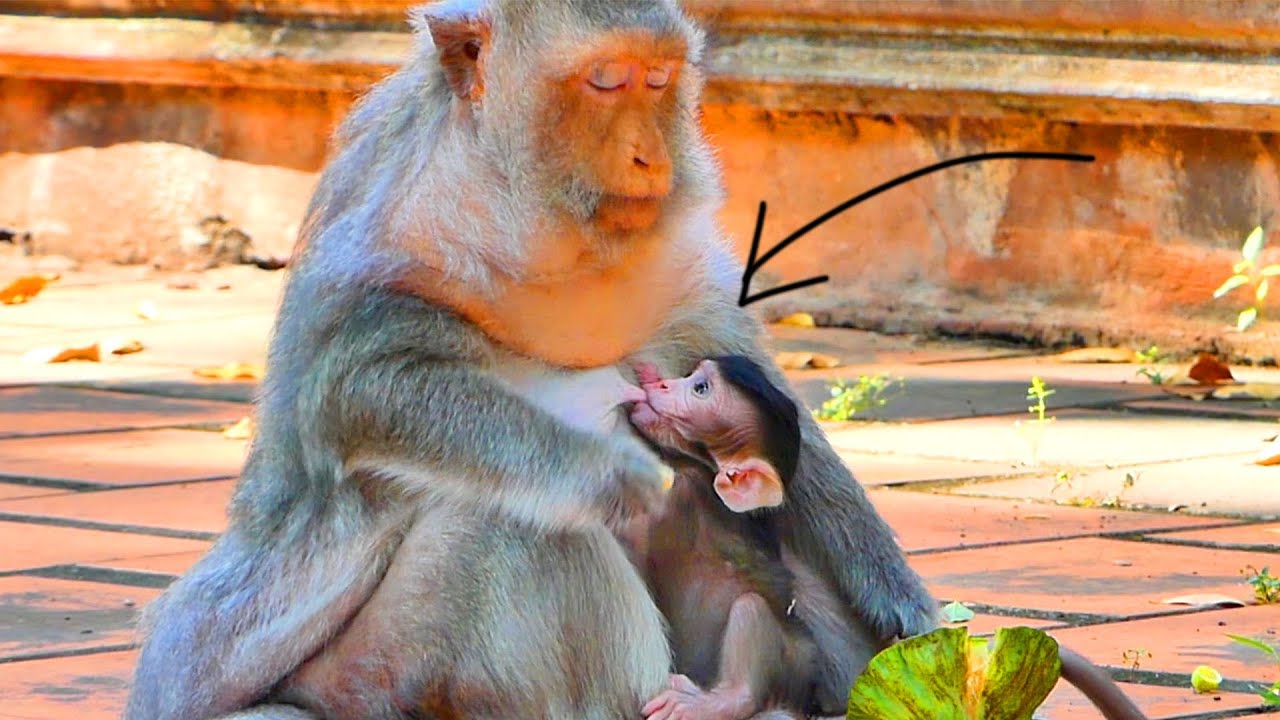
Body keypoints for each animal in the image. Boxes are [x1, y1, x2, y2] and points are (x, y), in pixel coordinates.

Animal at [124, 2, 940, 719]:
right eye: (605, 81)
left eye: (658, 80)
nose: (652, 157)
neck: (535, 222)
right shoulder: (406, 226)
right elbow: (360, 389)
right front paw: (613, 474)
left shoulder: (665, 267)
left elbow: (756, 397)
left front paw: (905, 612)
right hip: (369, 679)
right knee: (519, 522)